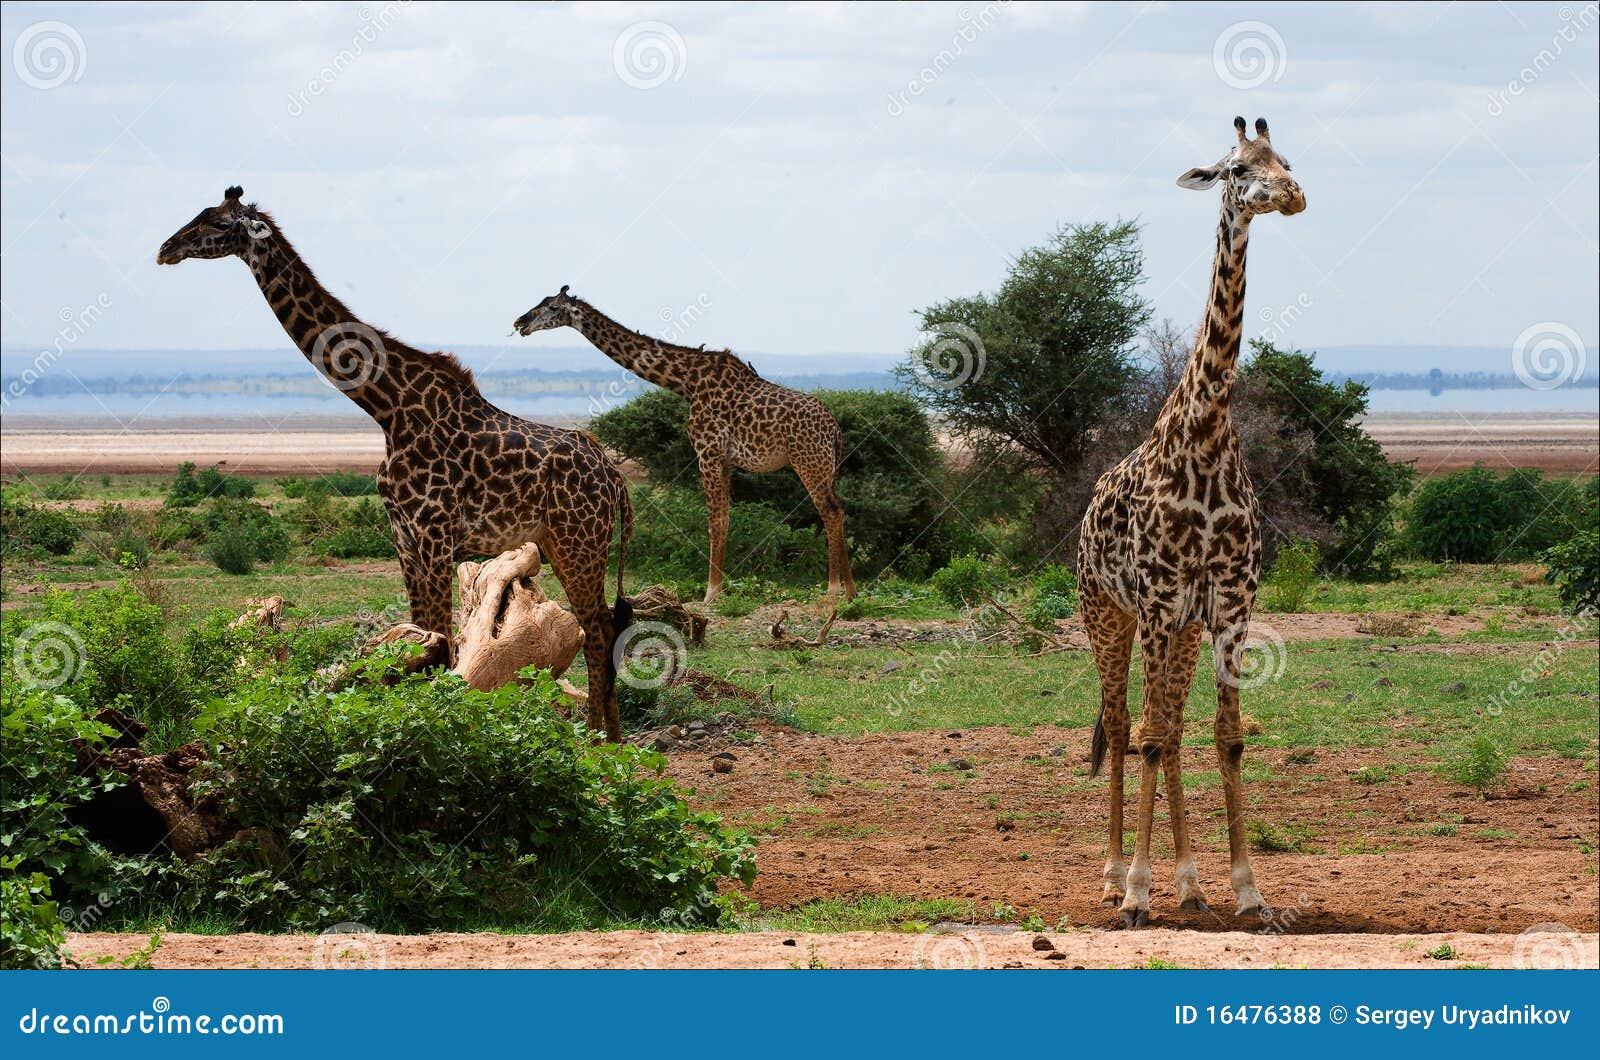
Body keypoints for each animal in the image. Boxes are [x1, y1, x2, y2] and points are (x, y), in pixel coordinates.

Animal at [157, 187, 635, 740]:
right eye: (198, 214)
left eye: (215, 223)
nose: (165, 248)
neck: (387, 407)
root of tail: (615, 478)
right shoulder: (404, 539)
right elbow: (421, 640)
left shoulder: (434, 538)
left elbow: (441, 647)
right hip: (566, 545)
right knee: (601, 628)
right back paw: (607, 735)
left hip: (581, 545)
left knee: (598, 631)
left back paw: (601, 739)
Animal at [513, 287, 856, 604]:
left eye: (553, 307)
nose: (520, 322)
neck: (686, 382)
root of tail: (834, 430)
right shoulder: (725, 461)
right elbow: (724, 521)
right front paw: (717, 590)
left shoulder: (708, 452)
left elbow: (714, 522)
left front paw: (710, 593)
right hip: (829, 467)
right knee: (839, 510)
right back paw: (851, 591)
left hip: (809, 461)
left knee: (830, 511)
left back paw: (833, 589)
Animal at [1076, 118, 1306, 927]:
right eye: (1236, 169)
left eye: (1285, 160)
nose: (1292, 195)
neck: (1205, 430)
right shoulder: (1154, 598)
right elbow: (1145, 736)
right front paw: (1137, 893)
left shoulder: (1230, 602)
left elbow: (1225, 737)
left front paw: (1246, 889)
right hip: (1107, 614)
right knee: (1123, 725)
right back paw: (1115, 876)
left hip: (1175, 628)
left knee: (1169, 727)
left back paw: (1189, 882)